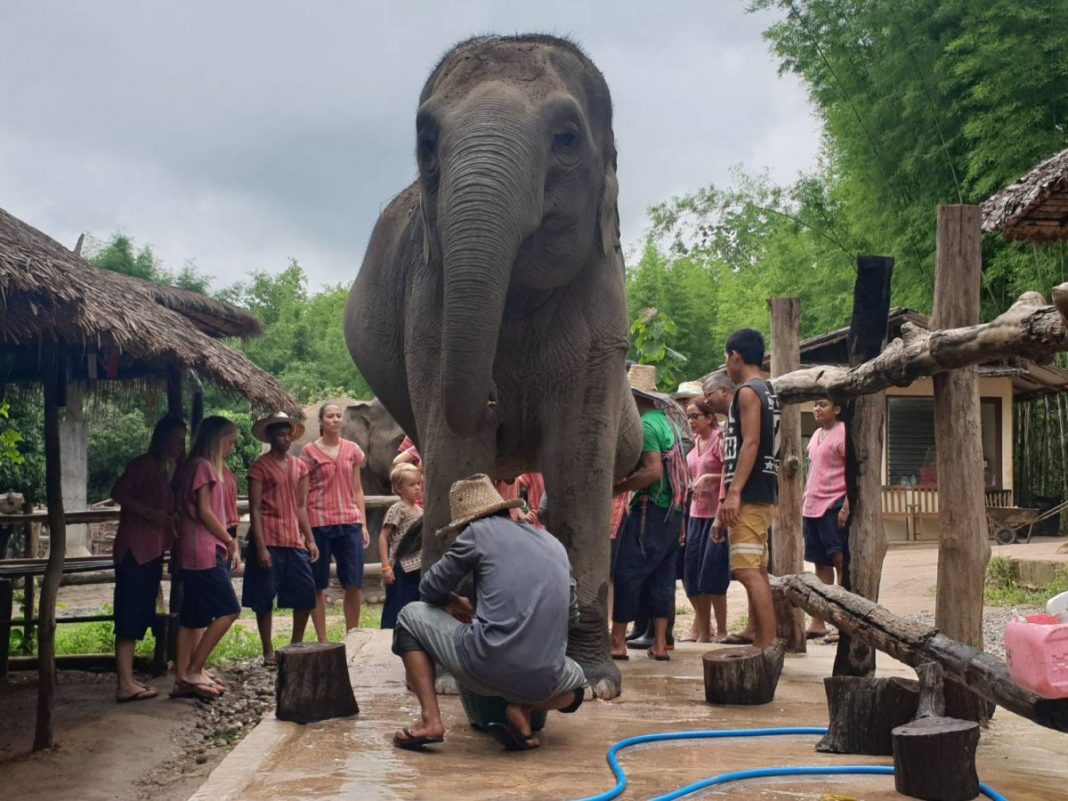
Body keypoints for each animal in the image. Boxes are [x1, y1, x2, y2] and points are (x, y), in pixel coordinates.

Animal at [345, 34, 642, 698]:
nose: (492, 397)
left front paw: (598, 682)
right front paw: (448, 679)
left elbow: (579, 456)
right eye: (427, 142)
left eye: (566, 138)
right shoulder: (428, 303)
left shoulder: (604, 305)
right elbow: (456, 451)